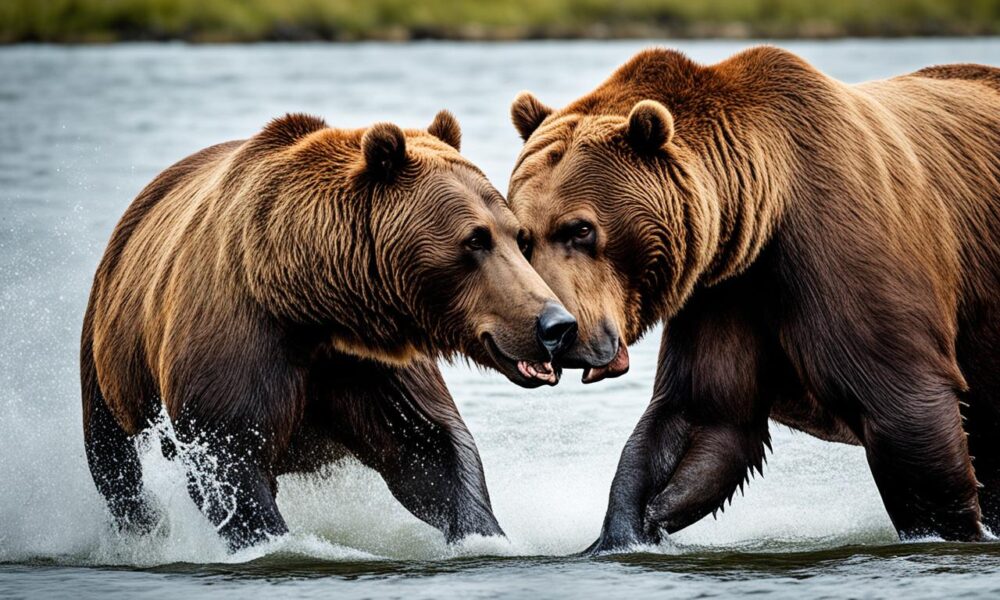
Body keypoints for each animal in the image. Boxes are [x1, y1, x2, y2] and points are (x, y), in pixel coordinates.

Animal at [81, 110, 580, 550]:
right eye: (475, 239)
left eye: (518, 237)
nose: (556, 324)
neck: (314, 301)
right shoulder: (241, 342)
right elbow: (231, 458)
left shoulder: (370, 365)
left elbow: (431, 452)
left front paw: (484, 533)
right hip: (110, 346)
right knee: (110, 452)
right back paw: (142, 525)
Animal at [507, 46, 1000, 551]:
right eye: (522, 237)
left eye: (580, 228)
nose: (559, 333)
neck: (760, 213)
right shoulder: (725, 295)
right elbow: (702, 420)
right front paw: (623, 530)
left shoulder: (845, 259)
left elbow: (906, 412)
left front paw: (953, 529)